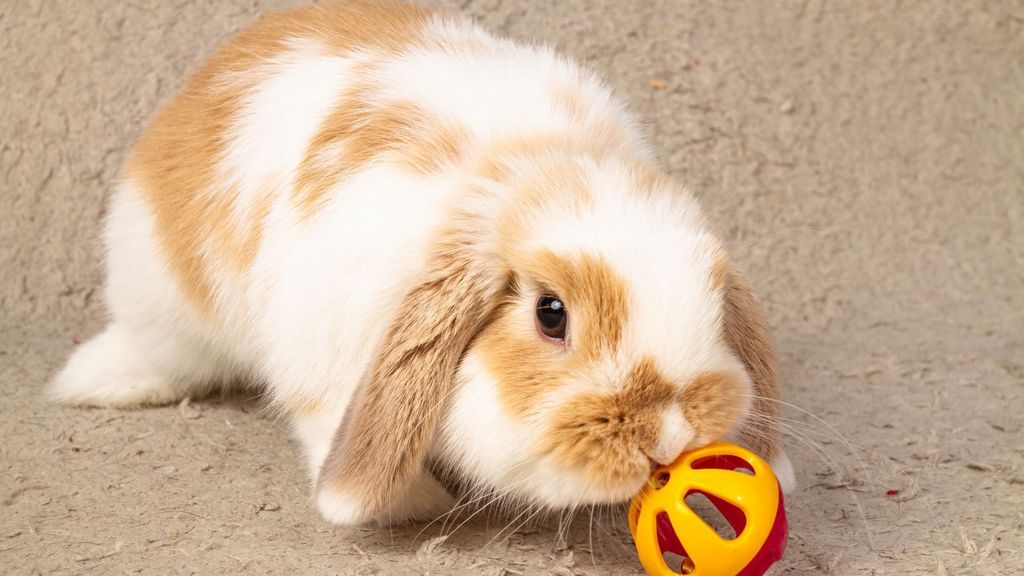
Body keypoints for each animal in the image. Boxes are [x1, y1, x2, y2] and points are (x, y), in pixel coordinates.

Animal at [51, 0, 794, 525]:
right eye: (551, 314)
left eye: (713, 306)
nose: (670, 435)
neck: (526, 172)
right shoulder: (325, 356)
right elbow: (326, 423)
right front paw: (414, 507)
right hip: (159, 292)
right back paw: (93, 382)